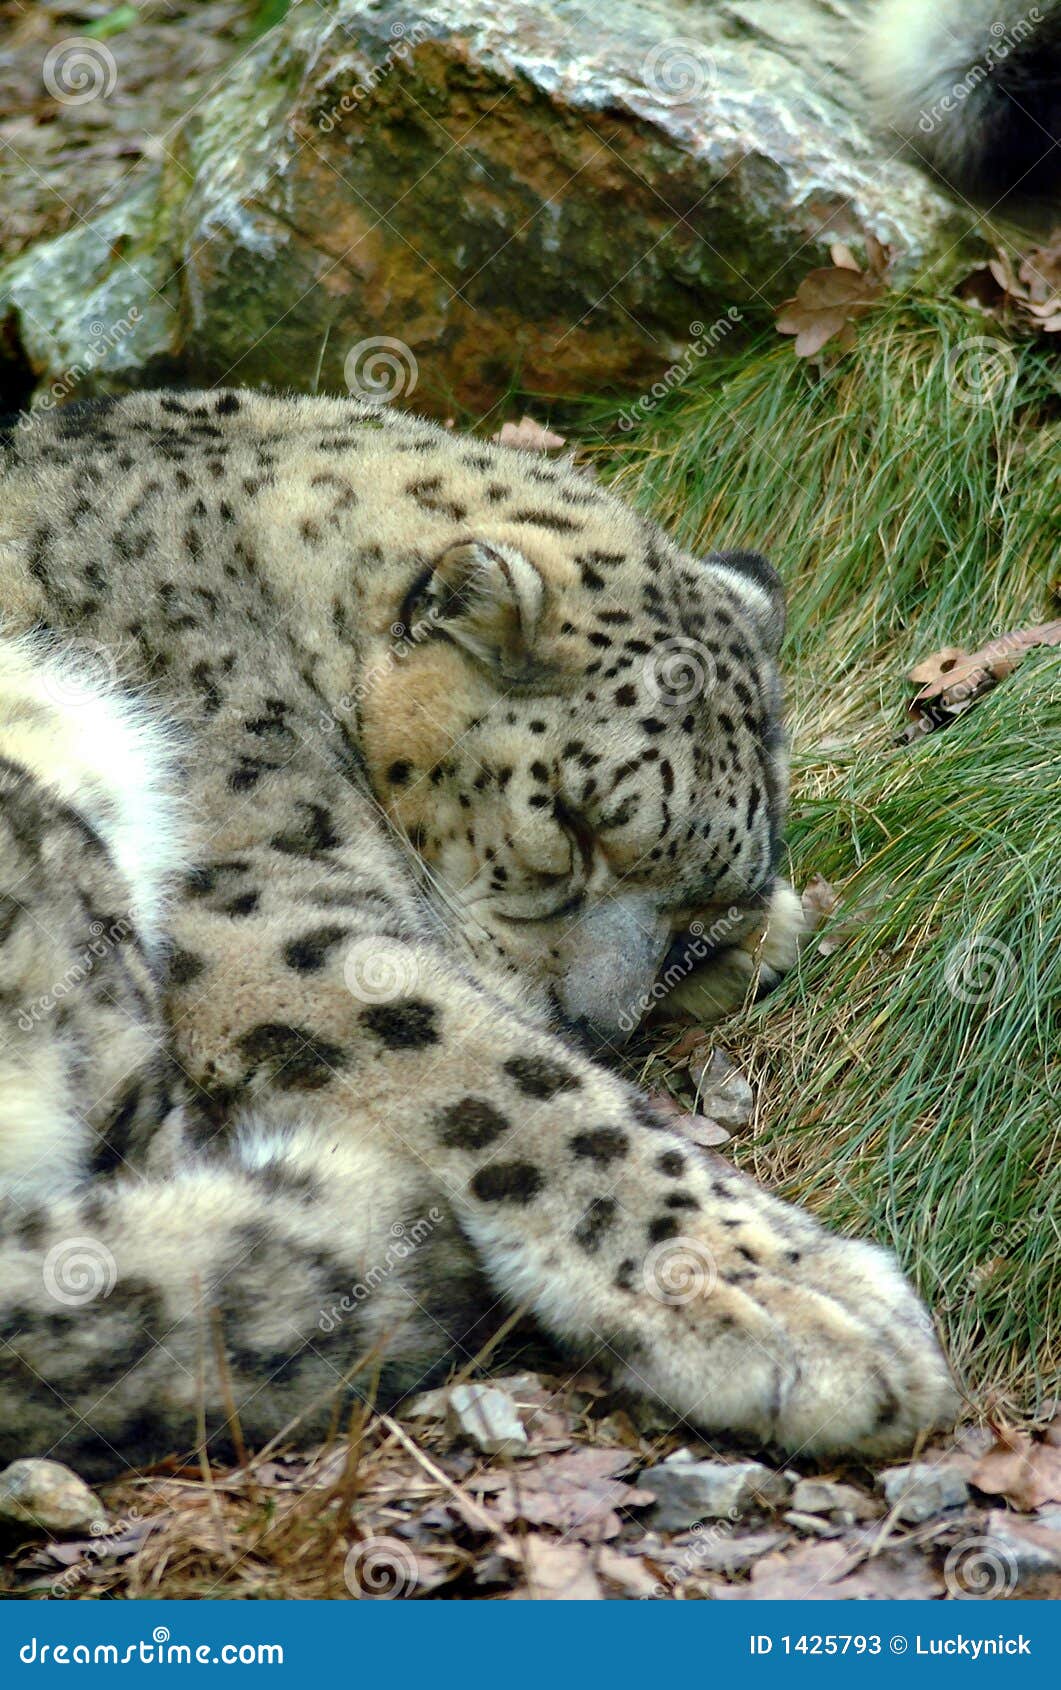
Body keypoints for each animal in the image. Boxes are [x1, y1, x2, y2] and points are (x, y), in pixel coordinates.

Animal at [0, 389, 957, 1483]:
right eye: (571, 820)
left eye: (694, 912)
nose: (596, 1023)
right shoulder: (258, 895)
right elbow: (505, 1080)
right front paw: (783, 1295)